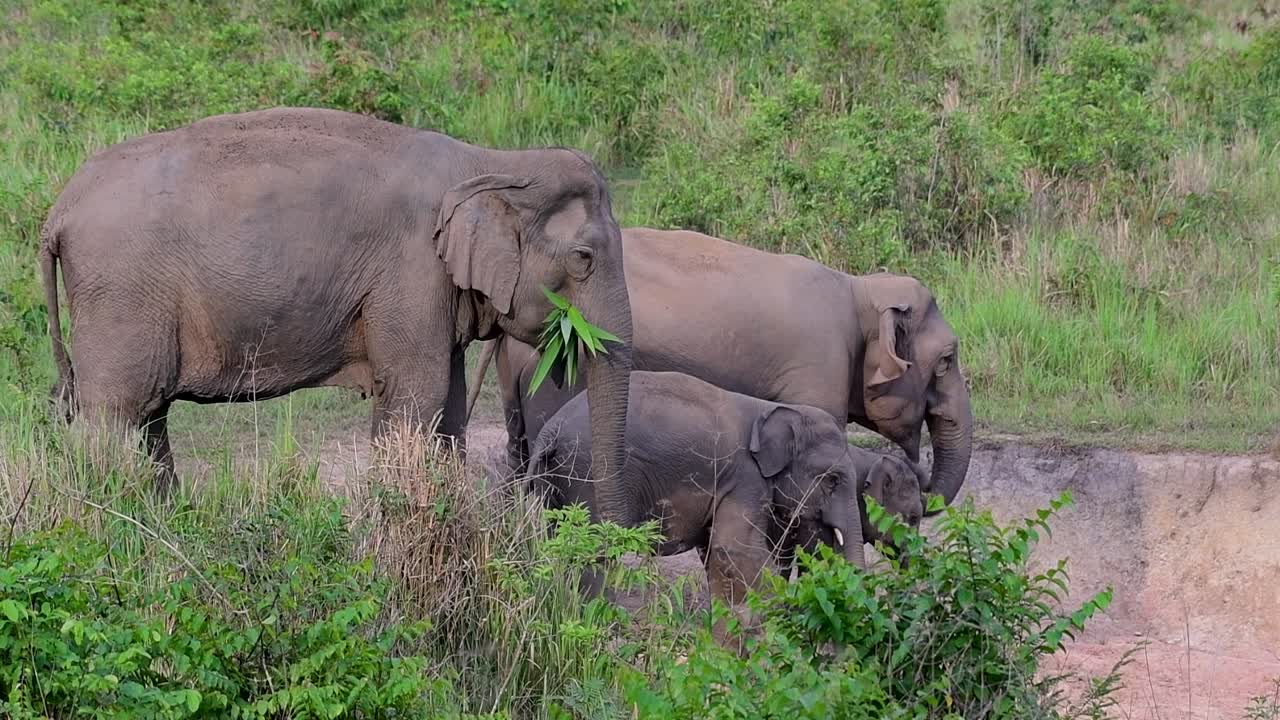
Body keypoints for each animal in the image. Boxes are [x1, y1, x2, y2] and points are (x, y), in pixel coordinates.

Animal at [38, 106, 636, 522]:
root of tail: (58, 211)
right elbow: (415, 395)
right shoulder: (411, 272)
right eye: (584, 259)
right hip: (122, 294)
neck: (492, 163)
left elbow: (448, 402)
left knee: (148, 416)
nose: (617, 551)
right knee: (116, 415)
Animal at [469, 226, 973, 515]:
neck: (860, 290)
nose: (922, 475)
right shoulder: (817, 370)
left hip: (516, 381)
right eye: (947, 360)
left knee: (518, 455)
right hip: (558, 377)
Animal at [526, 370, 871, 613]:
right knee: (593, 547)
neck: (776, 411)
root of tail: (549, 430)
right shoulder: (745, 478)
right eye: (833, 480)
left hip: (558, 480)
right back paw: (599, 613)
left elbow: (714, 553)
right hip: (587, 473)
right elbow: (733, 550)